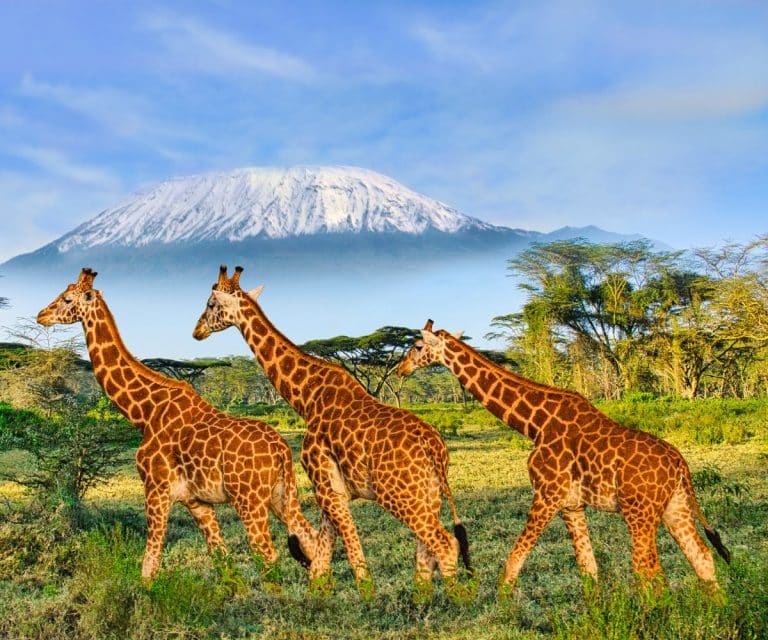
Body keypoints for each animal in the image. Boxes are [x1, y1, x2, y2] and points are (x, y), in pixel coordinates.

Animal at [37, 268, 317, 588]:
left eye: (66, 299)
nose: (41, 315)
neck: (144, 413)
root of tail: (281, 449)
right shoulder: (197, 502)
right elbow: (223, 561)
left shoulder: (156, 489)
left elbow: (149, 566)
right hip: (282, 495)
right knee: (311, 539)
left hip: (249, 500)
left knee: (268, 556)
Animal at [192, 266, 474, 603]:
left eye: (210, 303)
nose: (196, 331)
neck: (306, 398)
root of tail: (434, 447)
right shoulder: (328, 486)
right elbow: (322, 551)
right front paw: (320, 594)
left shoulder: (326, 485)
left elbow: (348, 549)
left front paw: (366, 597)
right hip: (428, 491)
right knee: (427, 546)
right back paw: (421, 598)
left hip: (399, 493)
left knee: (444, 543)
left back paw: (458, 599)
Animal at [397, 320, 731, 596]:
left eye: (417, 347)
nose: (401, 369)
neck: (535, 424)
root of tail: (680, 464)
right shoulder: (571, 505)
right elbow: (588, 568)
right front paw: (597, 616)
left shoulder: (547, 494)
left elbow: (513, 561)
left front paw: (504, 609)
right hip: (675, 506)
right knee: (701, 556)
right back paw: (717, 610)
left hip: (640, 511)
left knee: (648, 569)